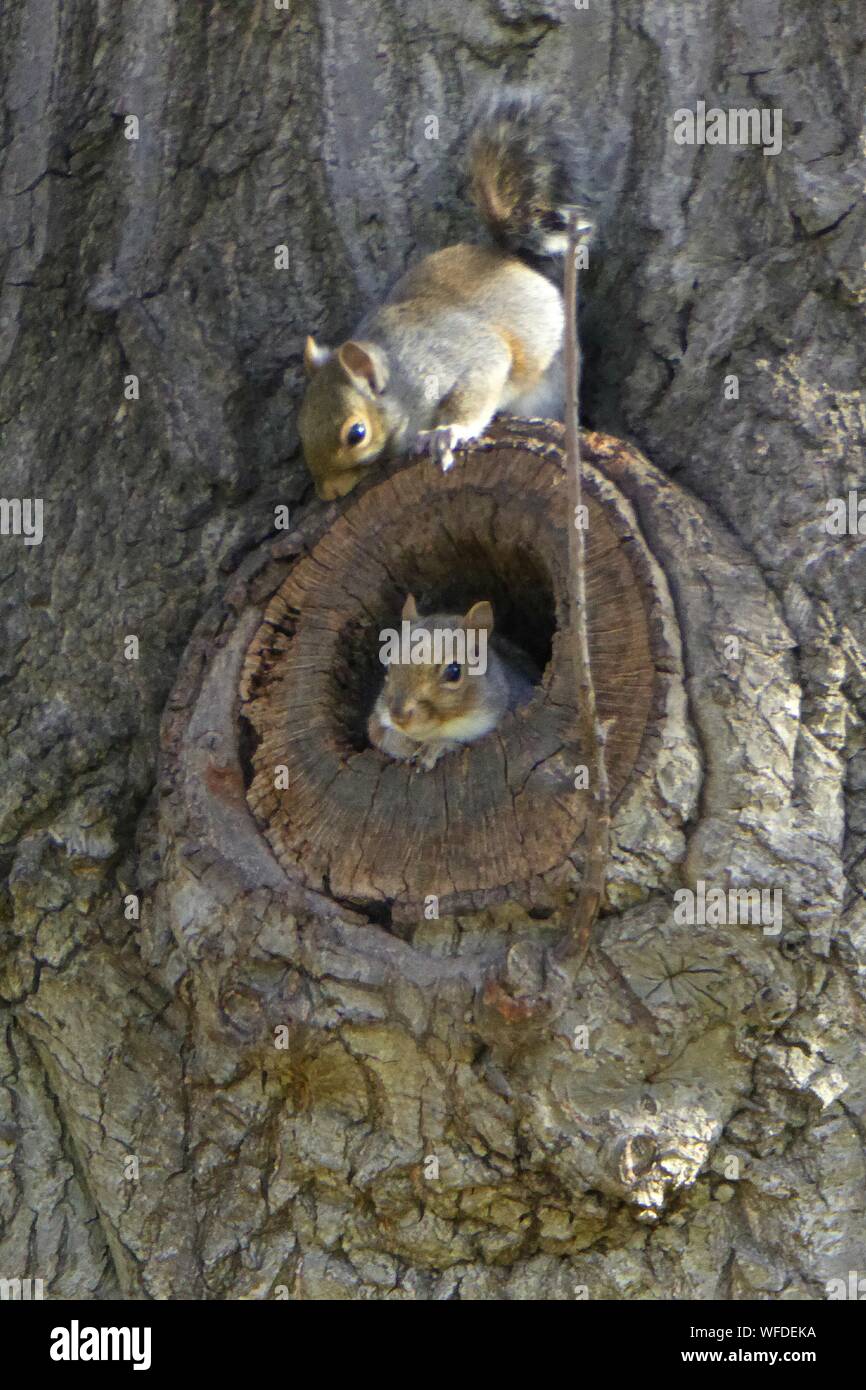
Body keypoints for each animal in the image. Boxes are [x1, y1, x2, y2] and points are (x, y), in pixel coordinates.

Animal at [299, 88, 594, 500]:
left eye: (356, 434)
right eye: (302, 427)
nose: (330, 494)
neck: (400, 376)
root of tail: (510, 257)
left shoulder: (465, 359)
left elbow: (477, 389)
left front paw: (447, 432)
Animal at [367, 594, 537, 770]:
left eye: (454, 672)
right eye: (387, 667)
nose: (399, 717)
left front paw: (435, 747)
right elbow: (376, 732)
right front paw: (400, 742)